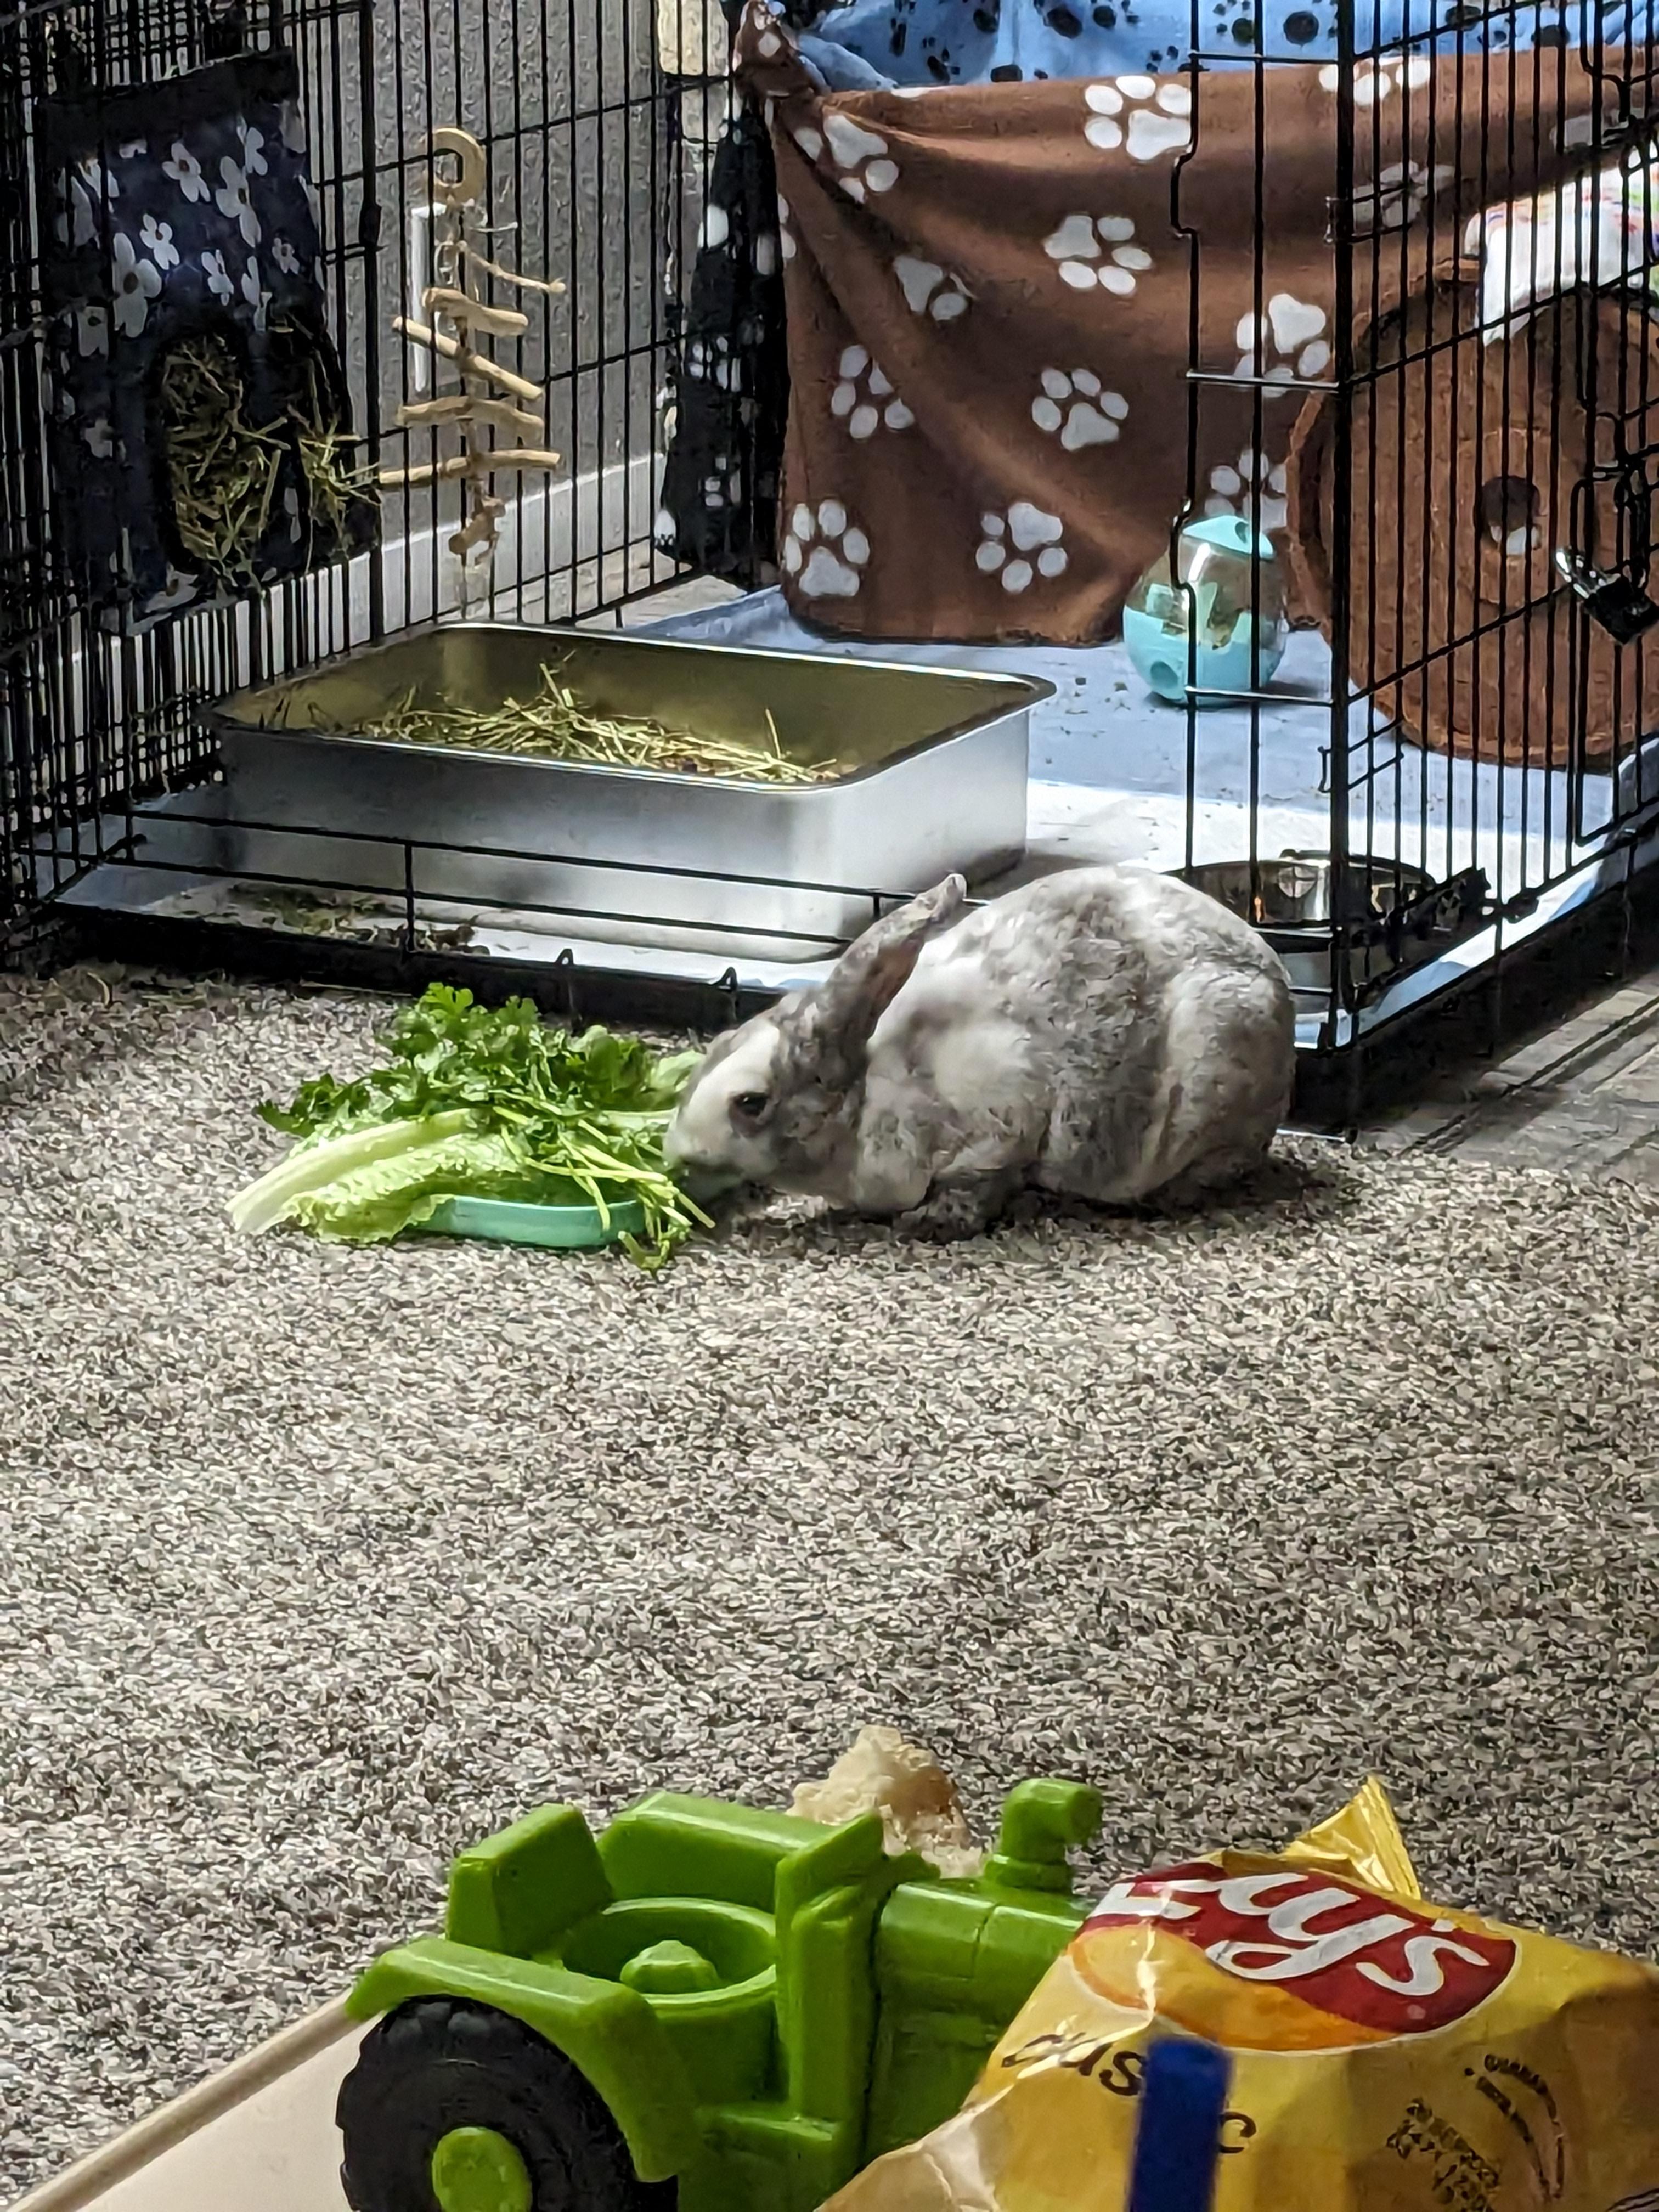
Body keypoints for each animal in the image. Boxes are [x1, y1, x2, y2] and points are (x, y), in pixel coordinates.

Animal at [665, 862, 1297, 1238]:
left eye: (750, 1103)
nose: (676, 1153)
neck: (871, 1092)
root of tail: (1281, 994)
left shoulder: (998, 1129)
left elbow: (978, 1185)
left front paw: (927, 1222)